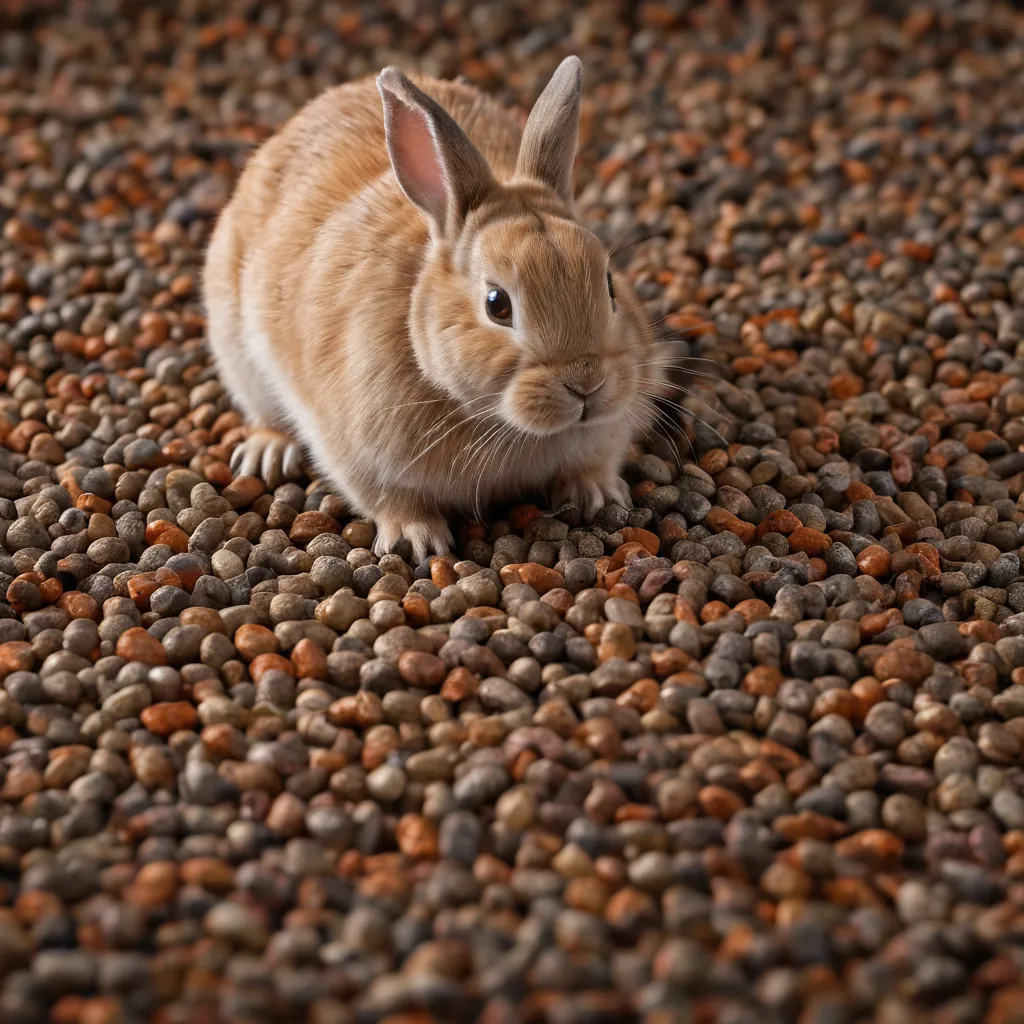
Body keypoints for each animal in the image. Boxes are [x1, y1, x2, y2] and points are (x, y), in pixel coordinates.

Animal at [203, 56, 666, 562]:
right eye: (497, 305)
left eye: (609, 285)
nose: (587, 383)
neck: (503, 422)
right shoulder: (361, 456)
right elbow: (392, 499)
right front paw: (416, 539)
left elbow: (591, 466)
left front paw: (600, 496)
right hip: (237, 350)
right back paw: (268, 454)